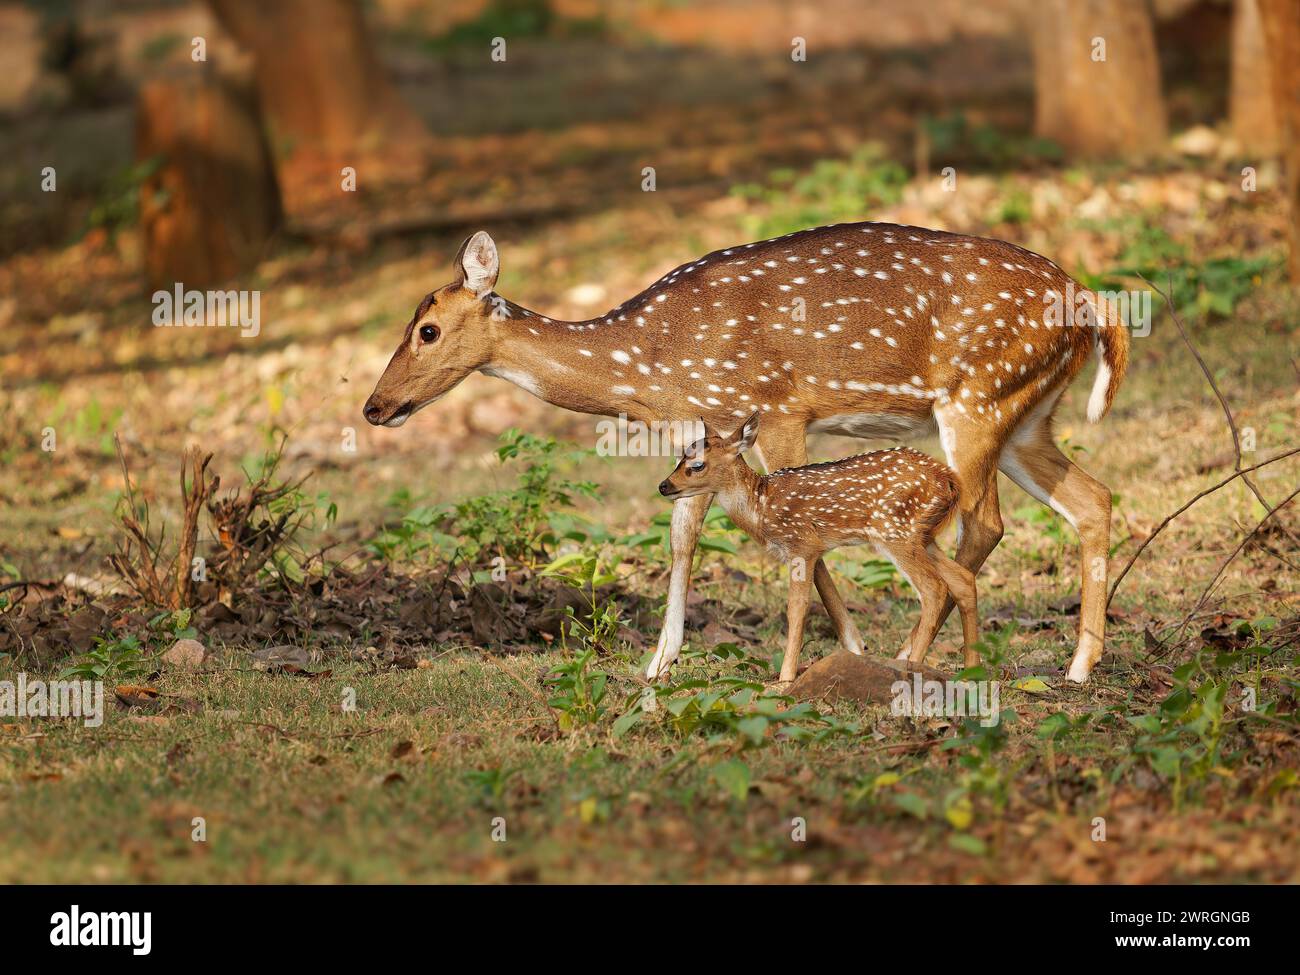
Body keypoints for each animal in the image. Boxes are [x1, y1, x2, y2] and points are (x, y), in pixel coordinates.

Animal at [658, 413, 979, 684]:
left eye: (697, 465)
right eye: (680, 458)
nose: (663, 486)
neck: (761, 507)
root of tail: (949, 480)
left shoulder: (802, 545)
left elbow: (797, 609)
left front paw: (785, 679)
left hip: (895, 531)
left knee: (933, 589)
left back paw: (913, 667)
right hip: (922, 536)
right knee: (962, 579)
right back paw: (971, 668)